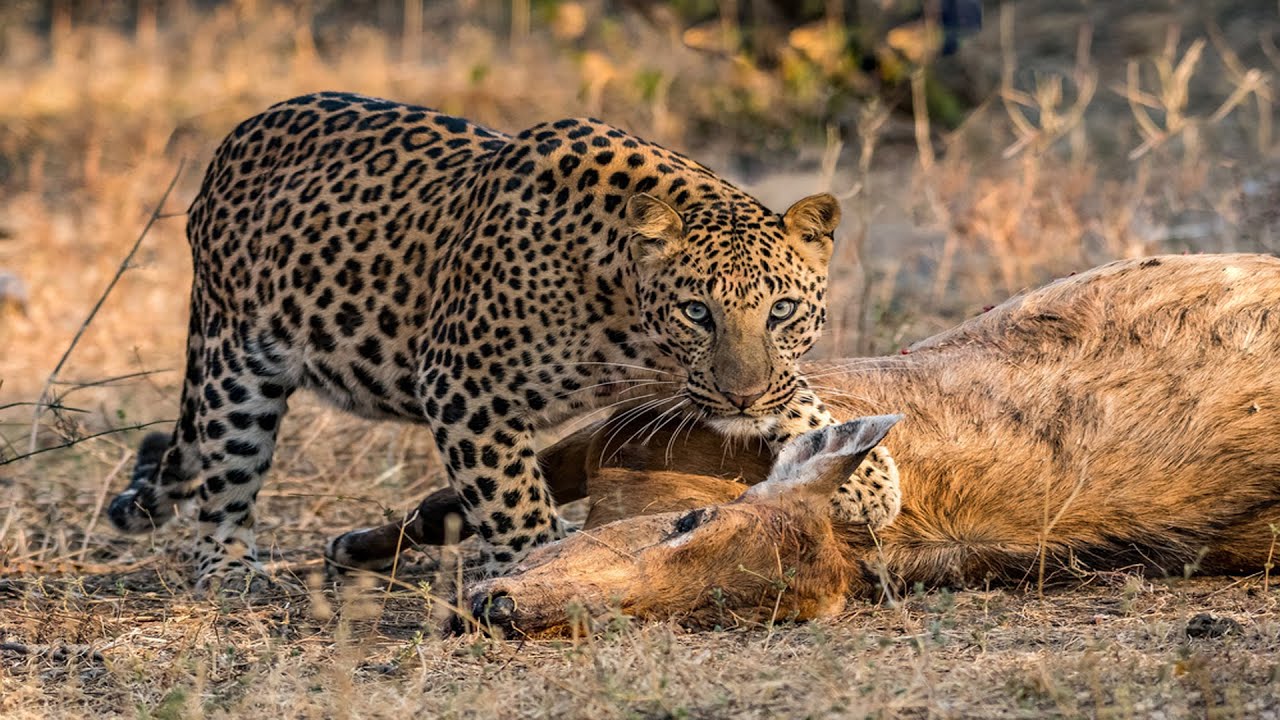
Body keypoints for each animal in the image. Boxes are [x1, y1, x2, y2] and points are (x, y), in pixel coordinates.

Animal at [105, 91, 897, 593]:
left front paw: (869, 478)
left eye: (782, 309)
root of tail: (234, 139)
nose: (741, 396)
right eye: (697, 313)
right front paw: (541, 569)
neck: (623, 308)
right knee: (220, 482)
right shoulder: (462, 385)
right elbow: (515, 501)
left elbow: (799, 395)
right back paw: (231, 572)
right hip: (235, 368)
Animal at [329, 254, 1280, 636]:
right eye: (685, 527)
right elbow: (449, 500)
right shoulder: (640, 416)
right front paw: (353, 546)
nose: (501, 609)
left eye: (710, 610)